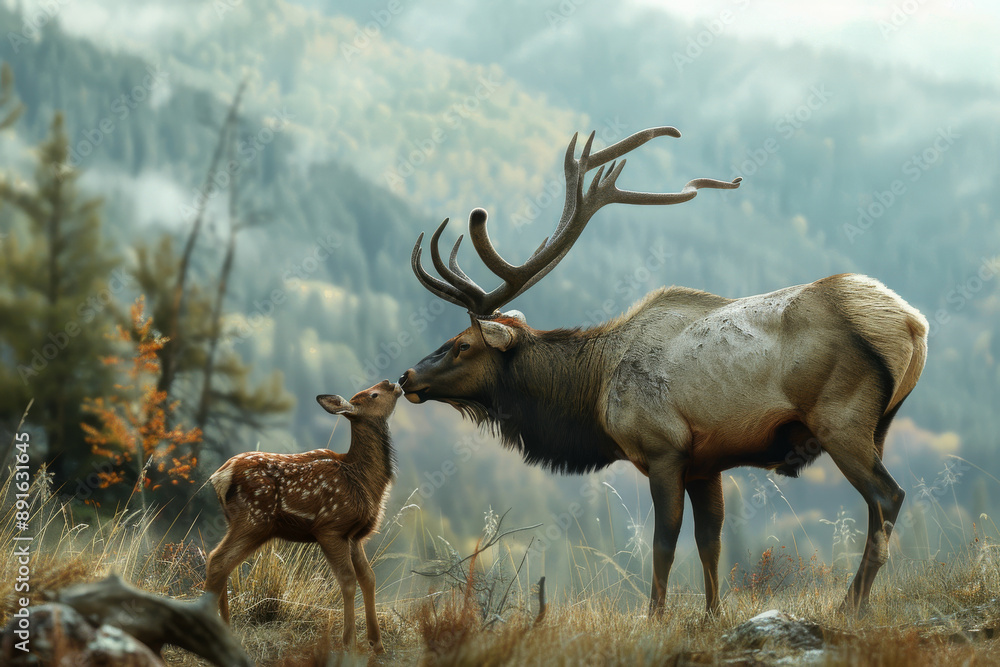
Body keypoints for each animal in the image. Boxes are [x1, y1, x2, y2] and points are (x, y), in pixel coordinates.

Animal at [204, 379, 402, 654]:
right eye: (374, 394)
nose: (393, 383)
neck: (362, 479)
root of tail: (220, 476)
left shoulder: (353, 535)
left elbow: (368, 578)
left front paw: (377, 644)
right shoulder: (331, 526)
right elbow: (347, 580)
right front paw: (349, 643)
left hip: (241, 521)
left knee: (223, 563)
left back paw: (226, 630)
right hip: (254, 516)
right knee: (218, 560)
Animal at [399, 126, 928, 616]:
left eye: (462, 346)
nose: (406, 378)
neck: (593, 396)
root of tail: (912, 323)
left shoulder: (664, 449)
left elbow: (663, 544)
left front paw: (655, 615)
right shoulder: (707, 462)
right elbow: (711, 543)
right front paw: (713, 613)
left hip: (841, 418)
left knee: (888, 497)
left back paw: (849, 605)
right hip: (881, 424)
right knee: (877, 507)